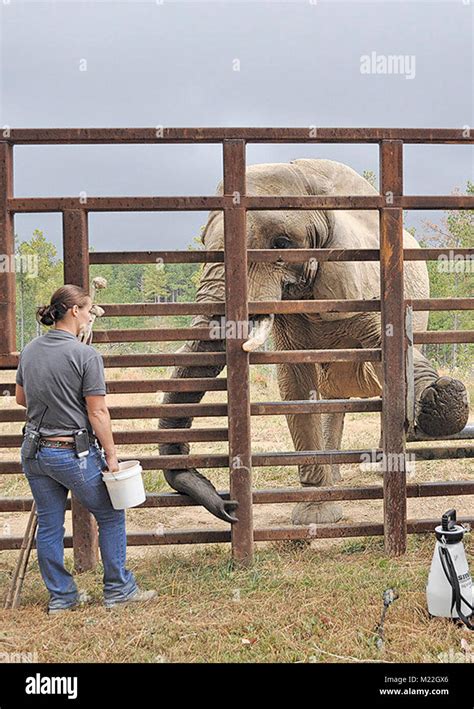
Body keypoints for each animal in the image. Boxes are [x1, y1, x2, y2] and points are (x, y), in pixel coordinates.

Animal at [158, 159, 469, 526]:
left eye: (280, 243)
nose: (224, 504)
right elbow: (295, 384)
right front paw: (316, 517)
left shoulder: (362, 281)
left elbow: (389, 352)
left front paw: (443, 397)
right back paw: (335, 476)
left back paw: (382, 466)